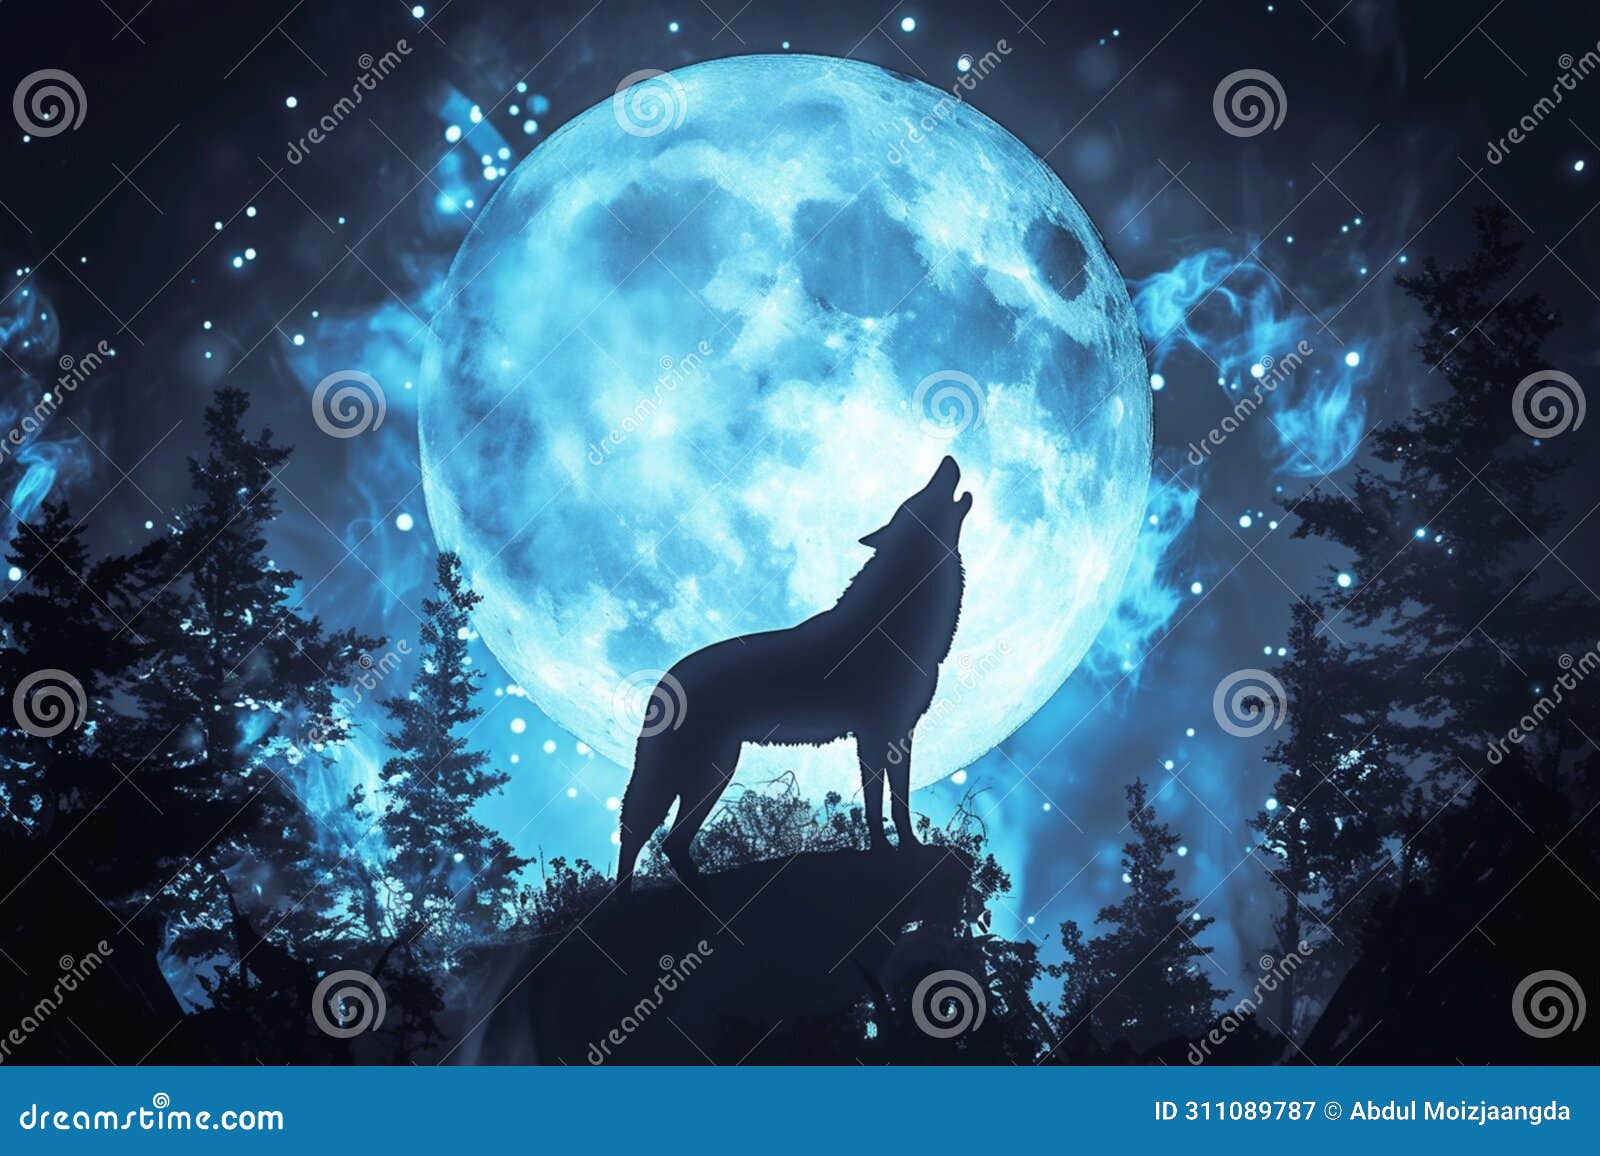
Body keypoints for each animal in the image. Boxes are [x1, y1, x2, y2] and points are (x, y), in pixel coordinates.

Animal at [617, 455, 972, 889]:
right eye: (921, 494)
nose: (947, 459)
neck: (898, 614)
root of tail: (664, 679)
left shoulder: (899, 732)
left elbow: (897, 801)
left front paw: (909, 849)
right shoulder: (873, 734)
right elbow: (877, 802)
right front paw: (884, 854)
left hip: (712, 772)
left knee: (670, 840)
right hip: (693, 773)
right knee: (636, 830)